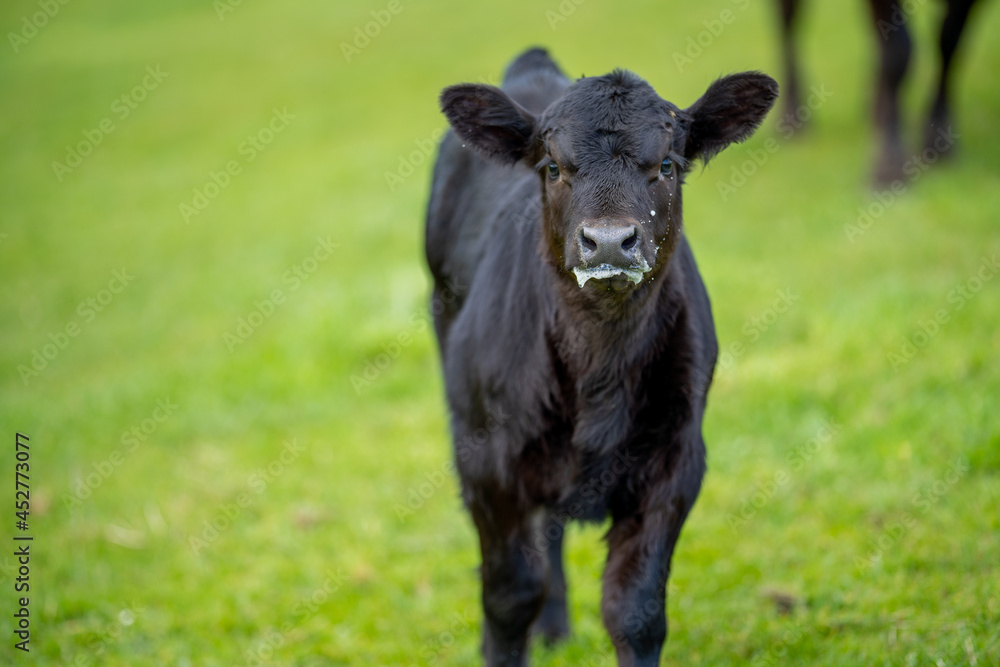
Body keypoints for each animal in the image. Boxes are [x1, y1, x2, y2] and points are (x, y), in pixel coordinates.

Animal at [425, 48, 778, 666]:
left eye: (667, 166)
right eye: (552, 168)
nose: (610, 242)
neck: (599, 370)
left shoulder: (676, 461)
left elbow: (635, 609)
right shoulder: (486, 459)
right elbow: (509, 595)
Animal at [775, 0, 980, 184]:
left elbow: (949, 42)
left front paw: (939, 138)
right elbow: (898, 52)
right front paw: (889, 166)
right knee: (788, 20)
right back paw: (792, 115)